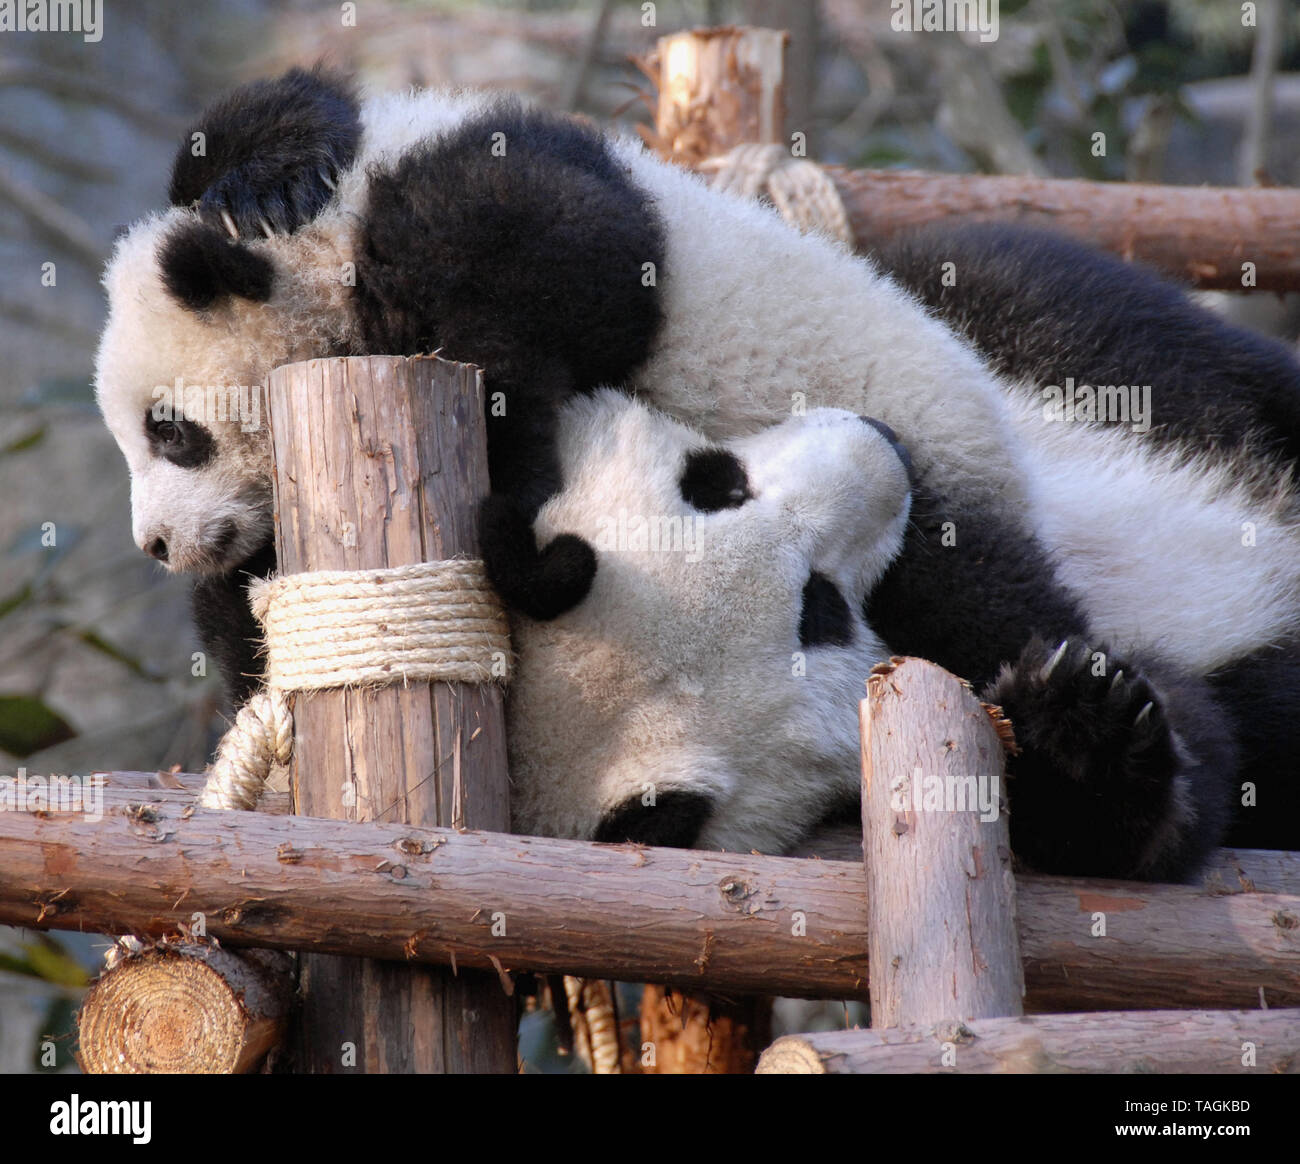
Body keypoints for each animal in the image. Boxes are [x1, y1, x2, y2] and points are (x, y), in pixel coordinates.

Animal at [93, 67, 1300, 877]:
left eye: (171, 433)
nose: (156, 543)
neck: (329, 252)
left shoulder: (527, 194)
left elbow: (551, 265)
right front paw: (261, 166)